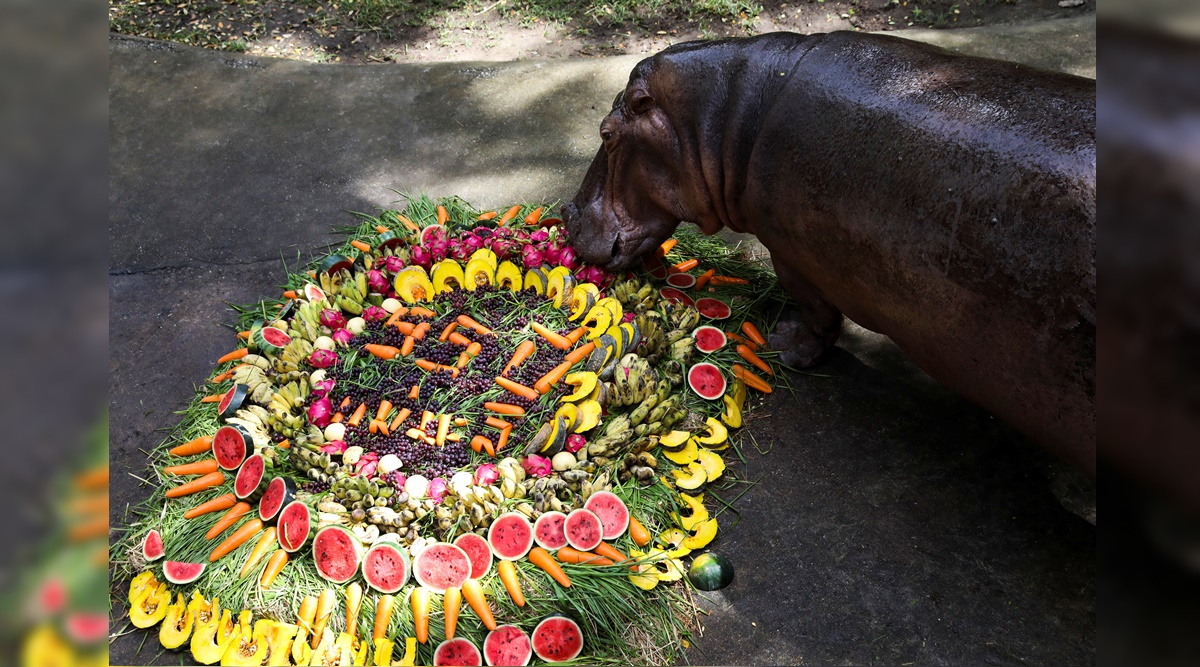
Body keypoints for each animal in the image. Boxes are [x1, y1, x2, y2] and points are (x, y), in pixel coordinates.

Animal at [562, 31, 1095, 477]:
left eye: (606, 133)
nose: (566, 214)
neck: (727, 115)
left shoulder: (792, 254)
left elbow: (817, 312)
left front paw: (787, 344)